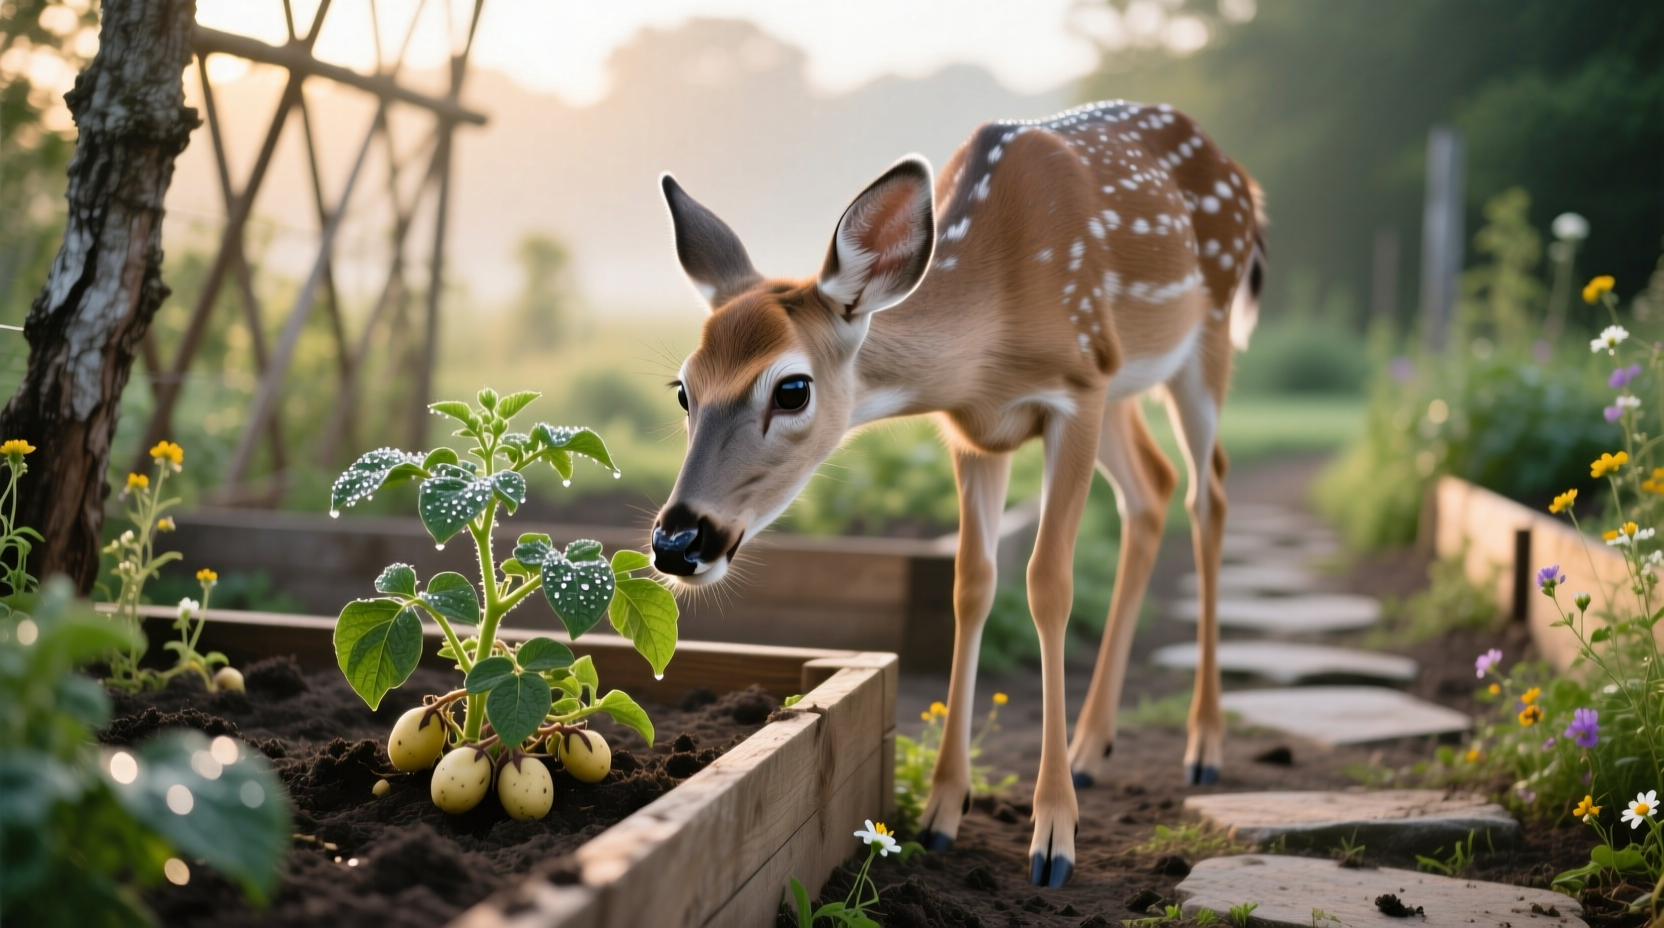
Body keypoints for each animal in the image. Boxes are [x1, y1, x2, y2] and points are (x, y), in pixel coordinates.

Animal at [648, 100, 1264, 887]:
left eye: (791, 388)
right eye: (683, 389)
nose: (678, 541)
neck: (991, 332)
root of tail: (1238, 173)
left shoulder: (1077, 390)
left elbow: (1048, 583)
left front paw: (1053, 840)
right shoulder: (977, 432)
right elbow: (970, 585)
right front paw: (942, 814)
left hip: (1201, 342)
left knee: (1207, 493)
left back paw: (1203, 749)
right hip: (1126, 378)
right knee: (1152, 489)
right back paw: (1092, 749)